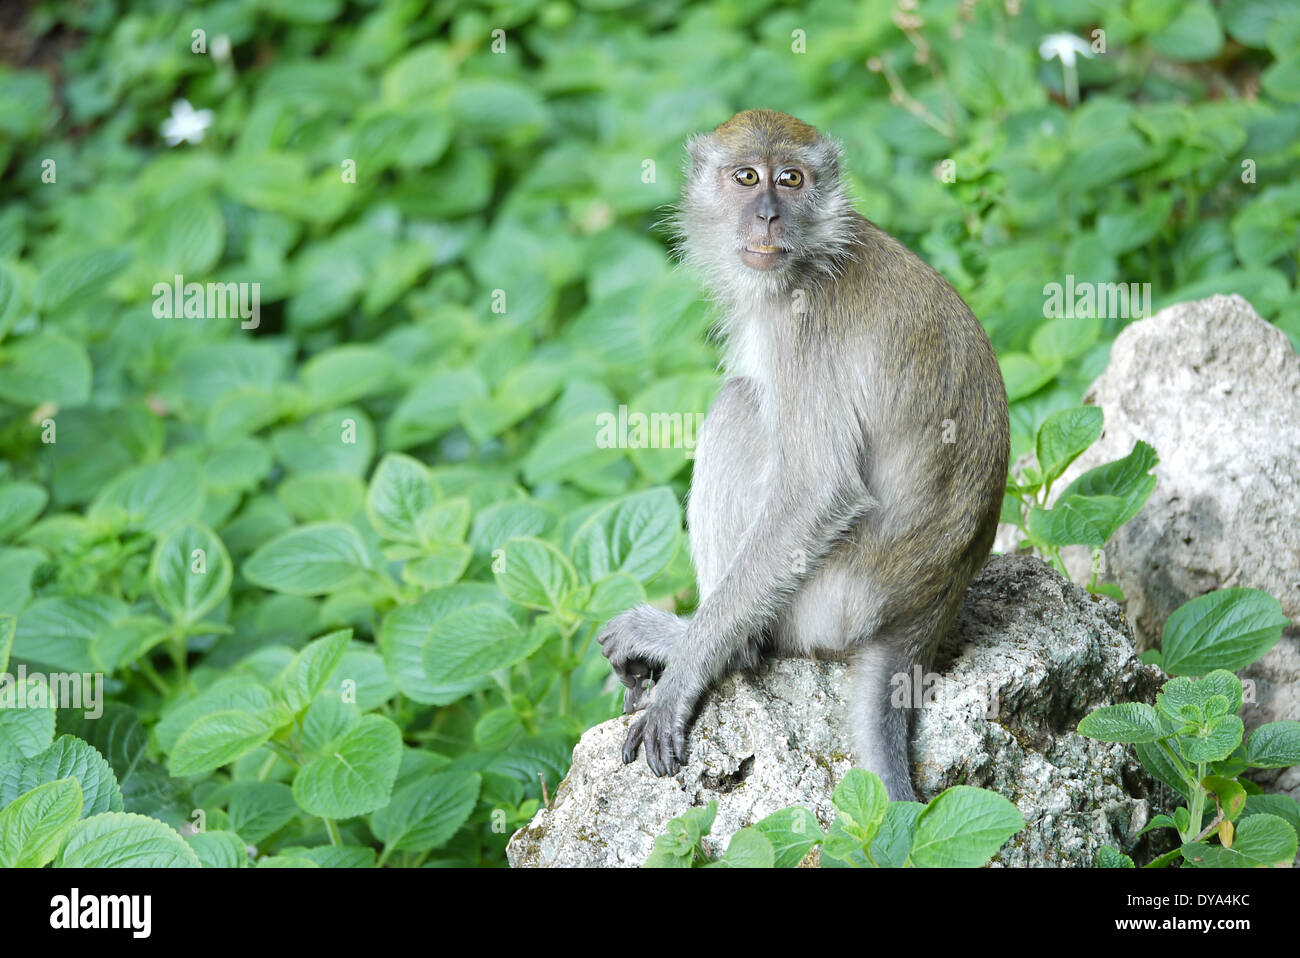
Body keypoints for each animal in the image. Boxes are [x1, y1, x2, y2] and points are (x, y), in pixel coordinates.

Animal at [598, 109, 1009, 802]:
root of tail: (922, 616)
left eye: (790, 179)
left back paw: (714, 648)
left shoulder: (801, 325)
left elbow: (818, 491)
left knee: (739, 406)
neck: (814, 254)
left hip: (823, 610)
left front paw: (681, 679)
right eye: (747, 177)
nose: (767, 215)